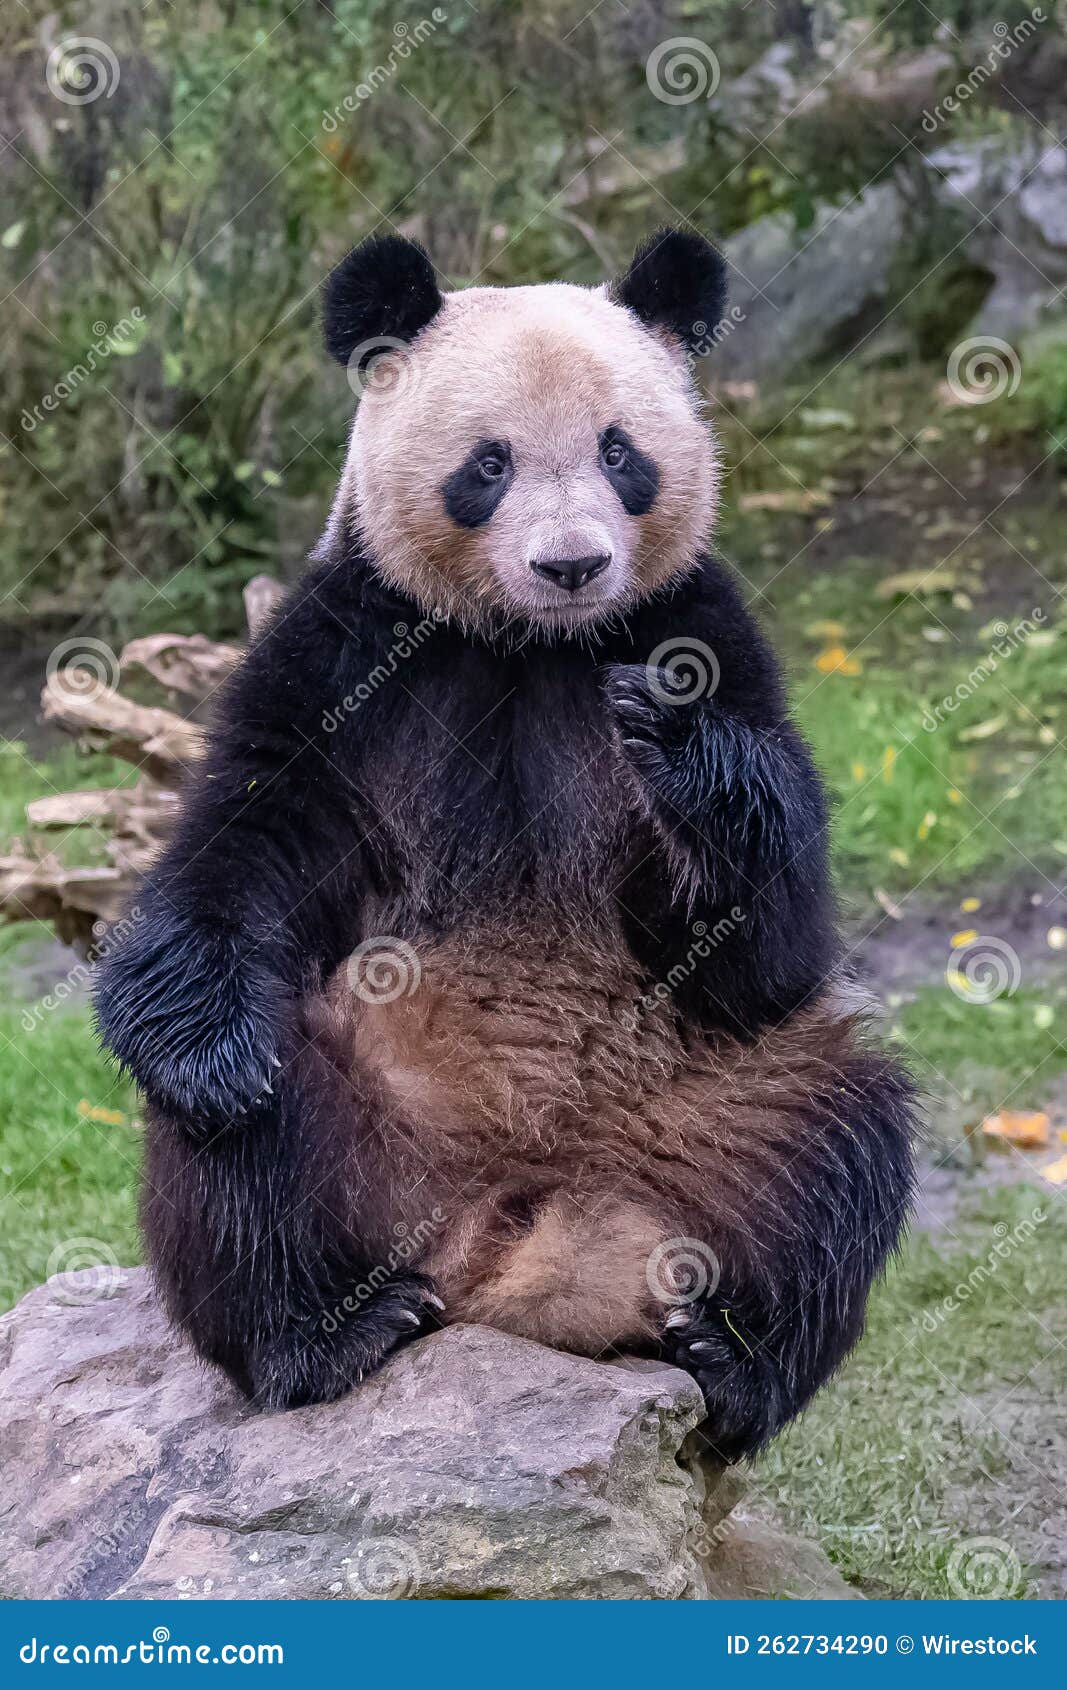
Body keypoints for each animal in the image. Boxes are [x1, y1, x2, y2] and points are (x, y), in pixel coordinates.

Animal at [95, 227, 915, 1461]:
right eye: (487, 464)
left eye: (620, 452)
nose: (571, 565)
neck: (531, 645)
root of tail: (518, 1239)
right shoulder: (342, 651)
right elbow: (244, 842)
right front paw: (208, 1048)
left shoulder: (704, 629)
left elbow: (770, 952)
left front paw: (678, 743)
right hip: (374, 1134)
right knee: (243, 1156)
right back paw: (327, 1333)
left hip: (713, 1112)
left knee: (840, 1134)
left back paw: (731, 1359)